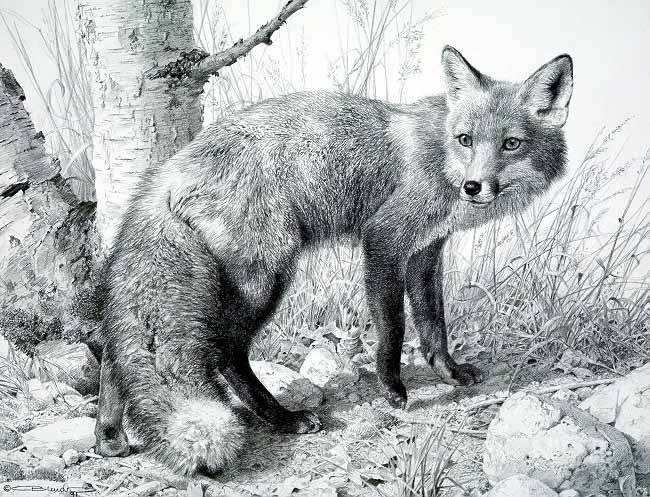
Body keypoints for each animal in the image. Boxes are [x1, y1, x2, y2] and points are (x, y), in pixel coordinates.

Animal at [92, 45, 573, 475]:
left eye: (511, 144)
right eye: (466, 140)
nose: (474, 187)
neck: (441, 155)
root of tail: (168, 171)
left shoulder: (426, 251)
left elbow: (433, 323)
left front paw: (448, 373)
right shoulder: (384, 239)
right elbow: (394, 327)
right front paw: (392, 389)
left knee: (115, 355)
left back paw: (108, 437)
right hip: (263, 280)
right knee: (226, 353)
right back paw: (283, 419)